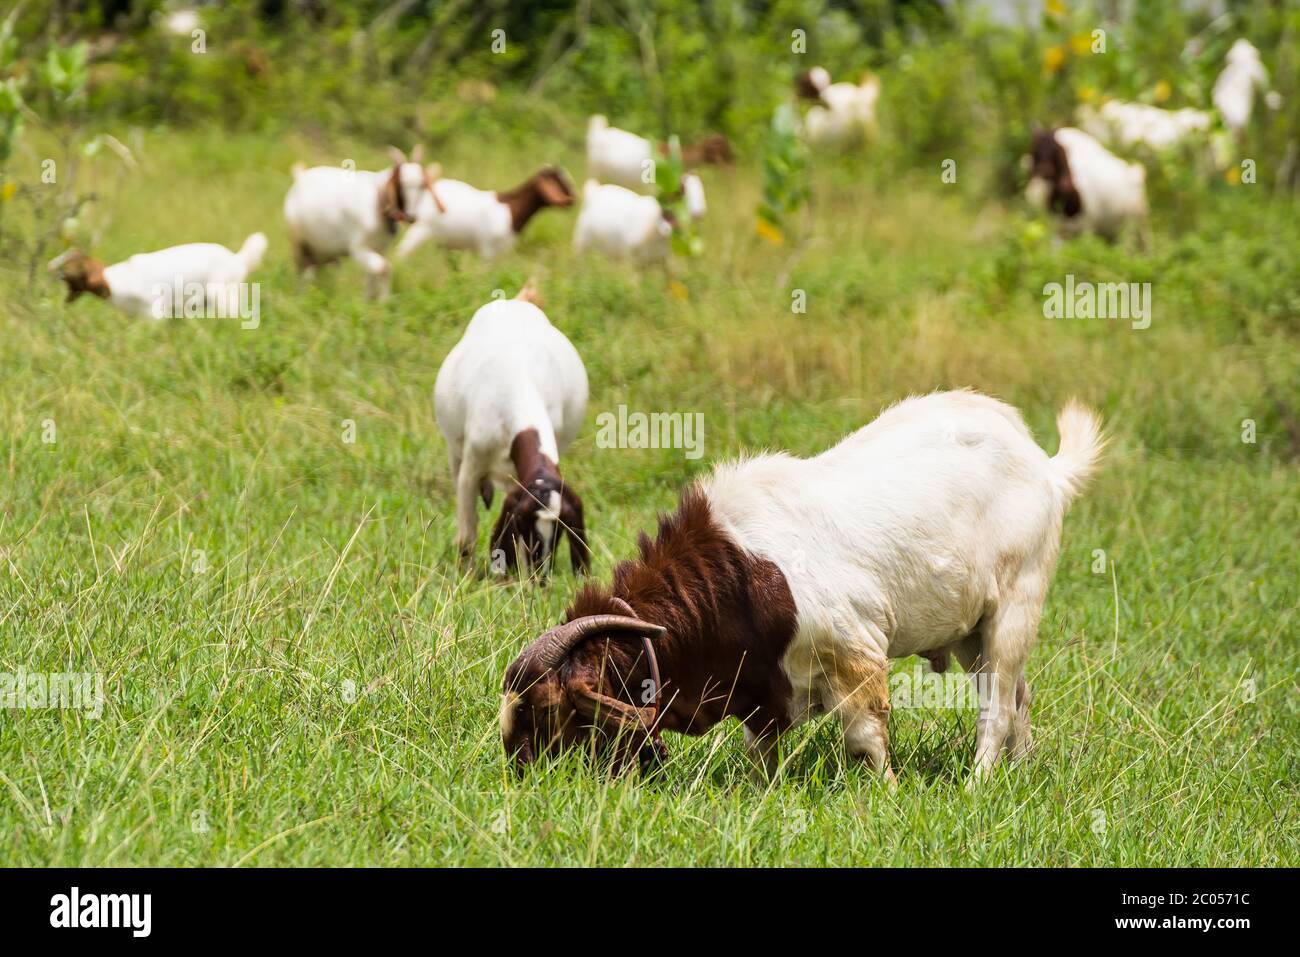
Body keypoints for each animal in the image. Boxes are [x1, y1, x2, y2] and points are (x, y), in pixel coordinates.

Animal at [282, 146, 441, 299]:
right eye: (400, 183)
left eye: (422, 185)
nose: (411, 217)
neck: (378, 201)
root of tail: (300, 176)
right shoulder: (358, 248)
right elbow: (384, 269)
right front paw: (384, 301)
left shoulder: (380, 249)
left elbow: (373, 276)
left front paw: (369, 301)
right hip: (299, 244)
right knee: (302, 273)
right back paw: (301, 297)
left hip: (322, 252)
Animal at [395, 167, 574, 261]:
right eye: (558, 181)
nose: (573, 201)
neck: (510, 209)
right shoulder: (487, 251)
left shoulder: (501, 253)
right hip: (420, 228)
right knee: (402, 252)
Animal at [434, 281, 589, 574]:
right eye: (526, 526)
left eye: (561, 530)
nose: (541, 576)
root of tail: (517, 302)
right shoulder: (472, 466)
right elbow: (467, 535)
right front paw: (467, 575)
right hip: (454, 451)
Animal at [500, 390, 1105, 785]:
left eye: (547, 709)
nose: (520, 773)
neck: (740, 572)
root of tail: (1047, 469)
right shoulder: (762, 684)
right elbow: (760, 750)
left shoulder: (856, 651)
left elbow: (865, 736)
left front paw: (886, 795)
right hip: (971, 632)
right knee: (1018, 694)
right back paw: (1020, 771)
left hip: (1017, 602)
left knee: (997, 704)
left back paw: (978, 785)